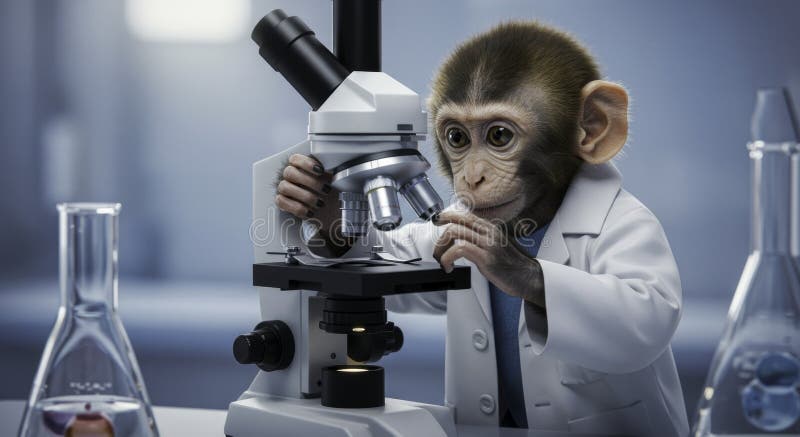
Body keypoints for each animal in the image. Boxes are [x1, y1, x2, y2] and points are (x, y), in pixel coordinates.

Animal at [275, 21, 687, 436]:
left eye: (499, 136)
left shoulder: (634, 226)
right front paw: (306, 191)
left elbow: (644, 307)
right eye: (457, 137)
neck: (534, 221)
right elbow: (399, 246)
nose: (472, 178)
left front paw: (493, 251)